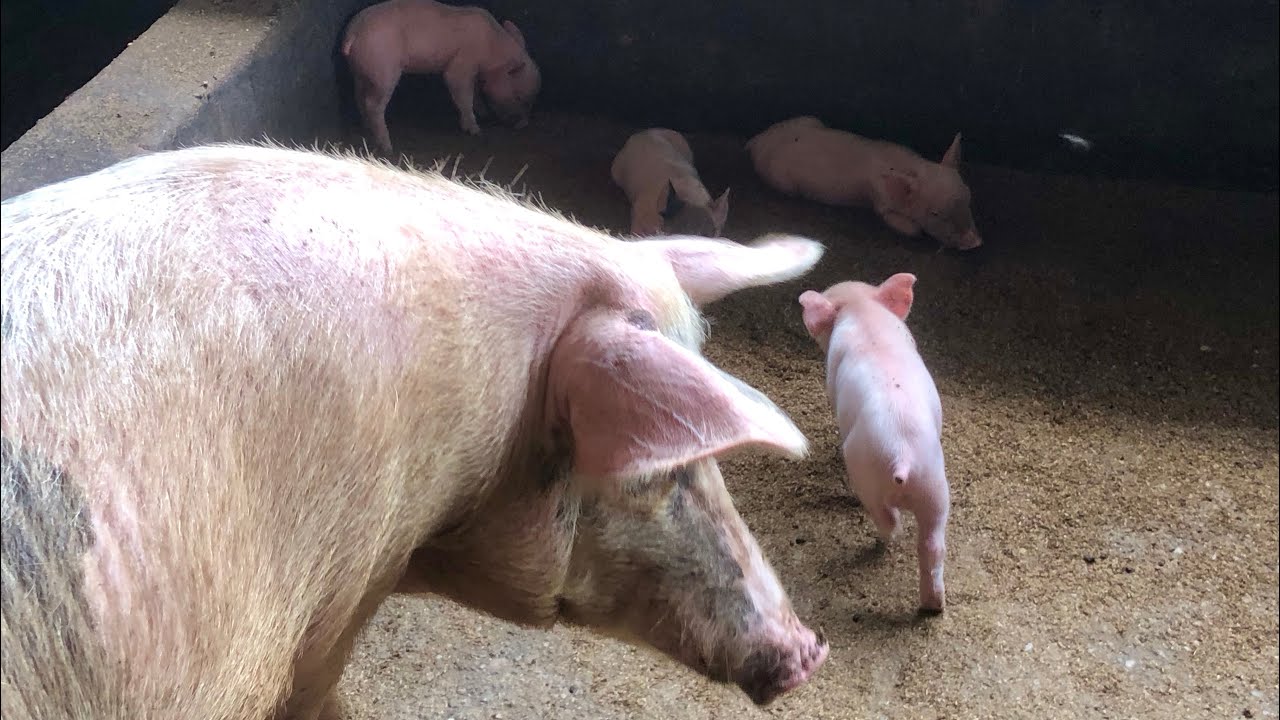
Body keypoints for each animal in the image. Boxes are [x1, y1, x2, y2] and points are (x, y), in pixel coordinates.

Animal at [341, 0, 542, 152]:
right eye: (520, 97)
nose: (523, 125)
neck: (491, 50)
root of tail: (354, 32)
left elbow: (476, 93)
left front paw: (483, 113)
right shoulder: (462, 64)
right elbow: (462, 94)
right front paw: (475, 130)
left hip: (361, 72)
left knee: (359, 96)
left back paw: (366, 127)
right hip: (385, 71)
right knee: (372, 104)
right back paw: (387, 147)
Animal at [747, 116, 982, 250]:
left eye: (969, 197)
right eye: (934, 214)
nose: (975, 242)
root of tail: (758, 140)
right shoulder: (880, 201)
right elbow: (903, 225)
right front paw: (916, 231)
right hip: (781, 182)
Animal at [797, 273, 950, 612]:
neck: (861, 308)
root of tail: (902, 455)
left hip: (865, 472)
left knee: (889, 523)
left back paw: (880, 542)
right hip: (934, 485)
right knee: (932, 544)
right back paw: (933, 606)